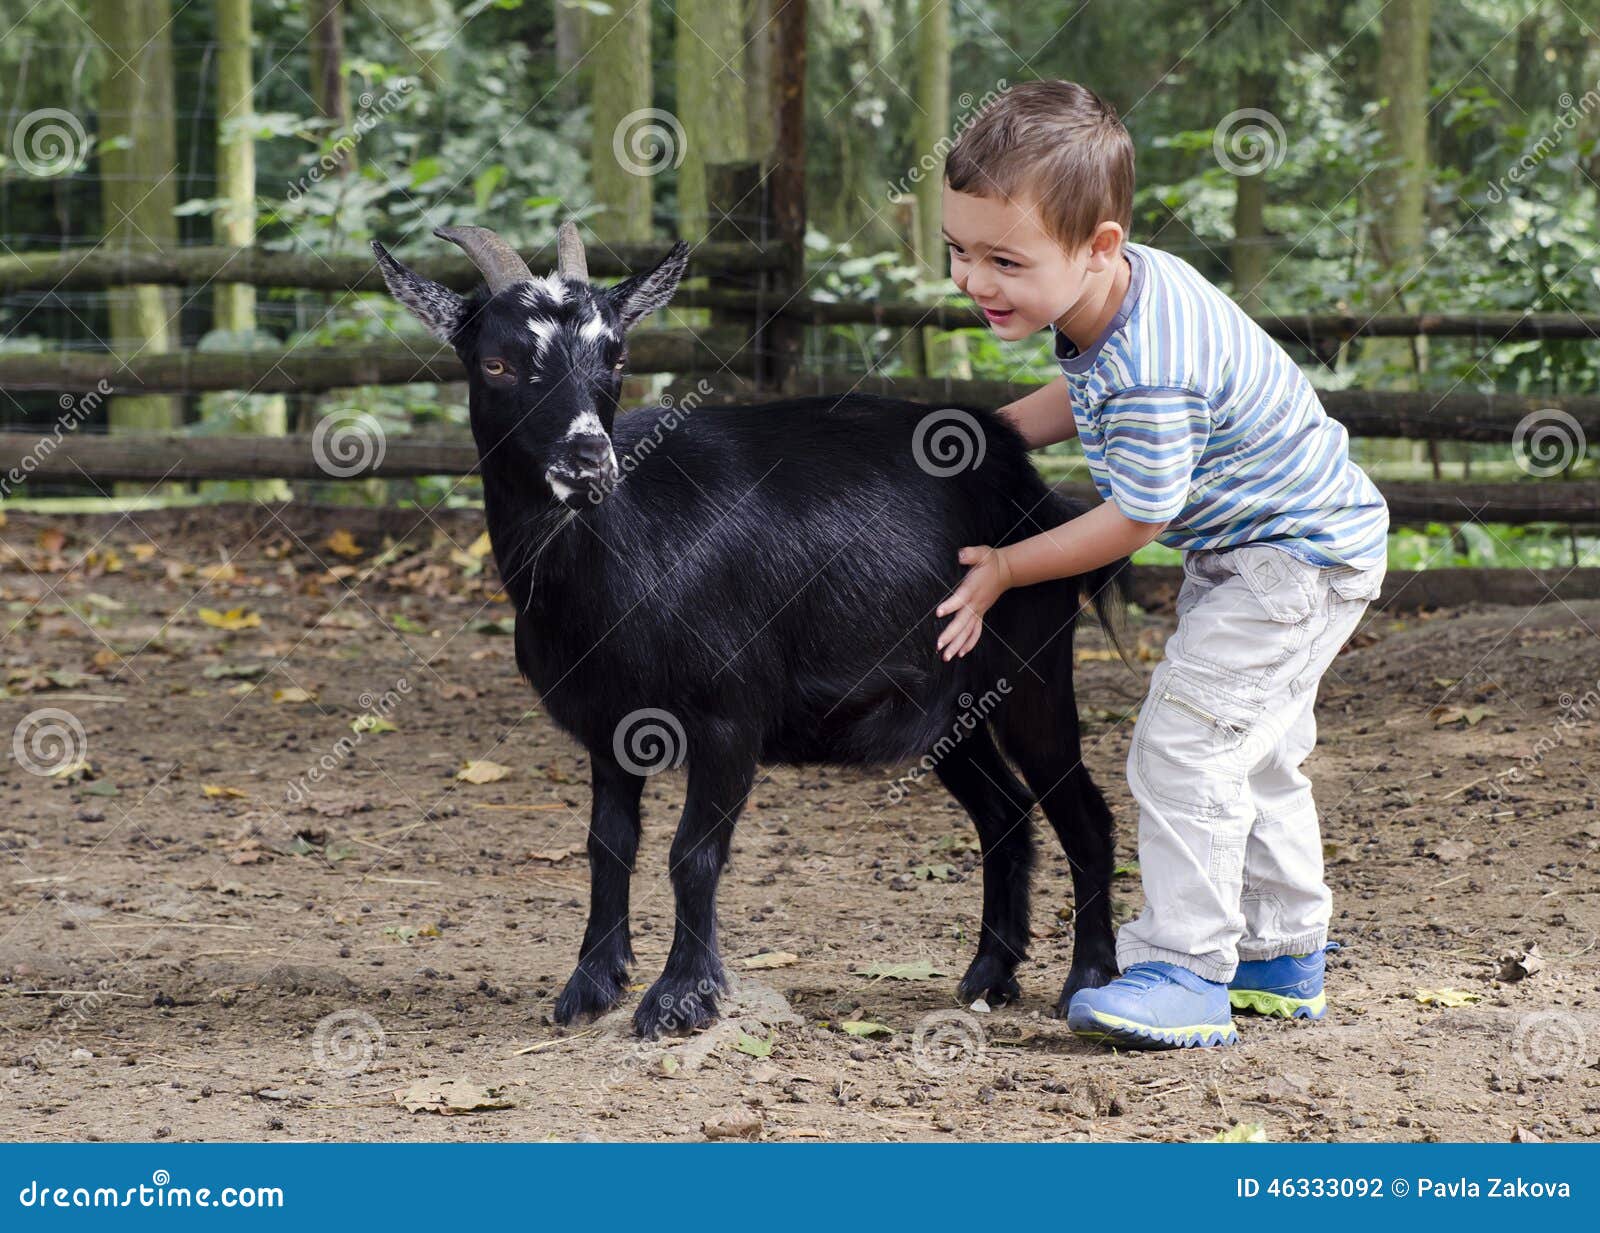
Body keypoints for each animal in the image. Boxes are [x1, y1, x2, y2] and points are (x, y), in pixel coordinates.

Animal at [373, 222, 1133, 1038]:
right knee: (1007, 814)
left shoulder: (730, 717)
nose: (588, 462)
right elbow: (608, 845)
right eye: (496, 361)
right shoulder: (606, 723)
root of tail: (1035, 489)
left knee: (1083, 812)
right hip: (948, 705)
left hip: (1032, 668)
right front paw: (591, 984)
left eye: (617, 354)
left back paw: (1088, 977)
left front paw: (681, 997)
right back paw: (989, 974)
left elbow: (692, 854)